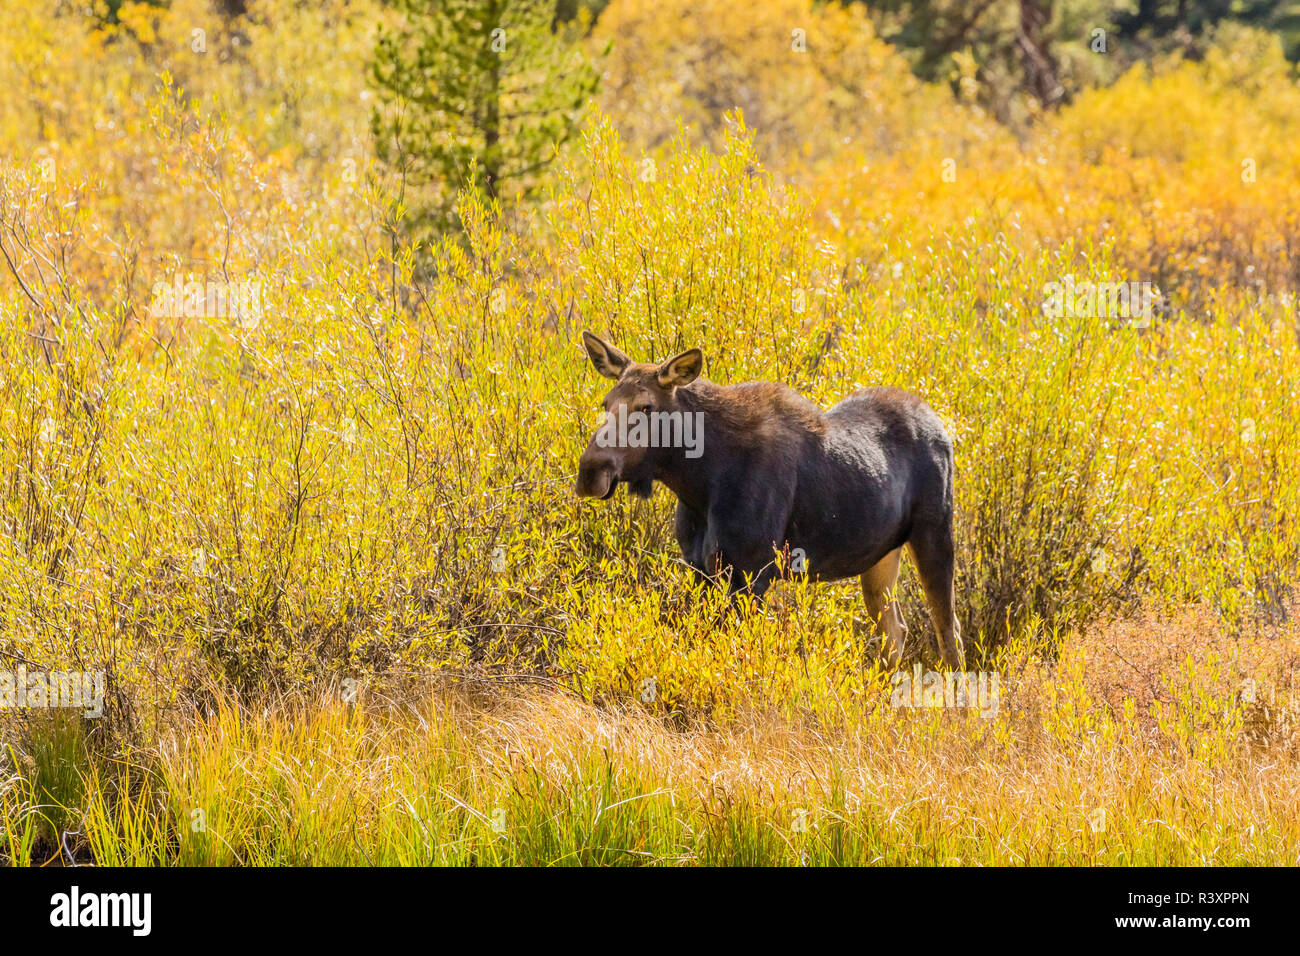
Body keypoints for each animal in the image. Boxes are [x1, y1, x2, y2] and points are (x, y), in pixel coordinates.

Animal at [574, 331, 965, 669]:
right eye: (605, 402)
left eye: (646, 407)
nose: (591, 472)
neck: (699, 480)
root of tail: (941, 426)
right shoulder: (700, 566)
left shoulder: (752, 570)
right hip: (880, 557)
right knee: (895, 632)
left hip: (935, 534)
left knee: (950, 632)